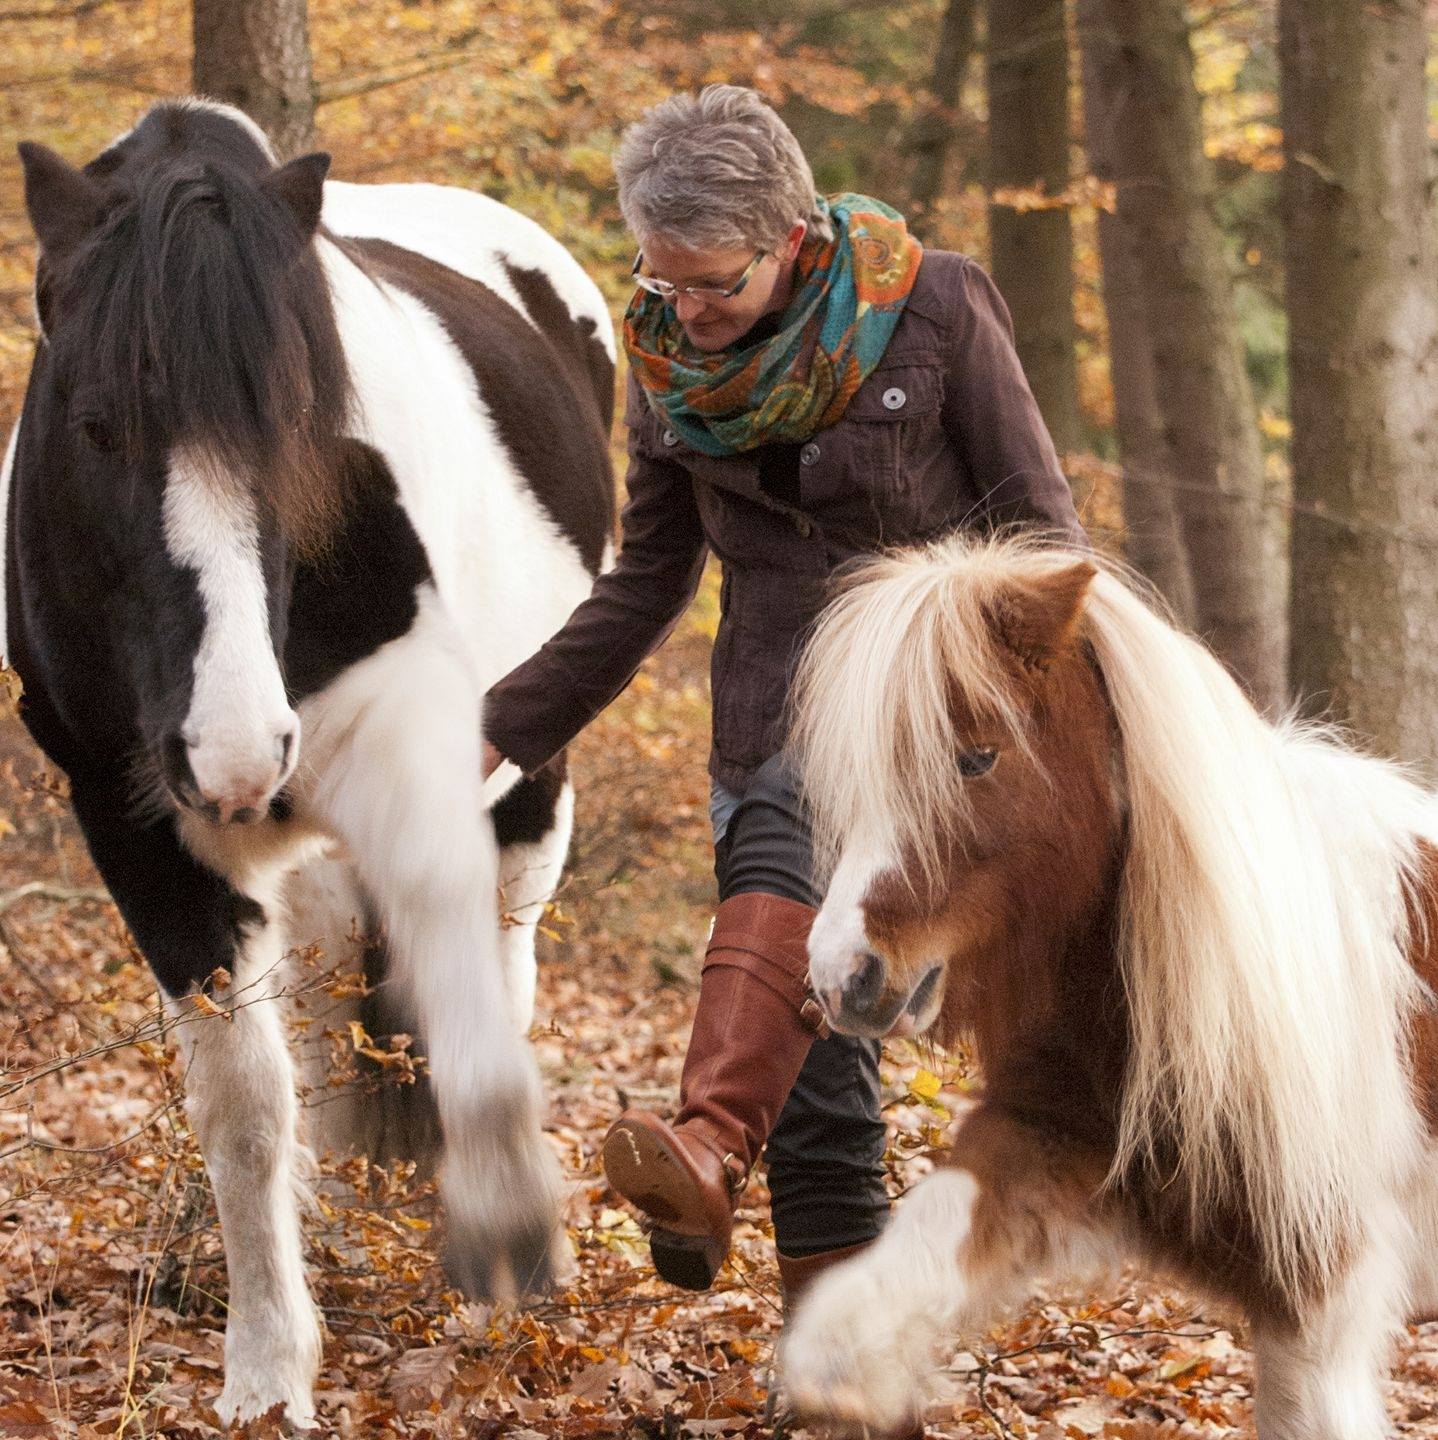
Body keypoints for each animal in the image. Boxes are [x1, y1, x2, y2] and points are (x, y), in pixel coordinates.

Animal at [5, 99, 615, 1427]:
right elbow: (246, 1109)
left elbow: (456, 1000)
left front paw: (499, 1250)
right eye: (94, 427)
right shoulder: (135, 827)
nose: (236, 752)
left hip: (530, 781)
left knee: (496, 963)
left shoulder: (421, 756)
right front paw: (270, 1369)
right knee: (337, 992)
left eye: (299, 425)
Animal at [778, 533, 1438, 1439]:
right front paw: (848, 1373)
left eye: (976, 756)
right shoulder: (1051, 1135)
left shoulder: (1320, 1292)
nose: (843, 974)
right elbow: (929, 1230)